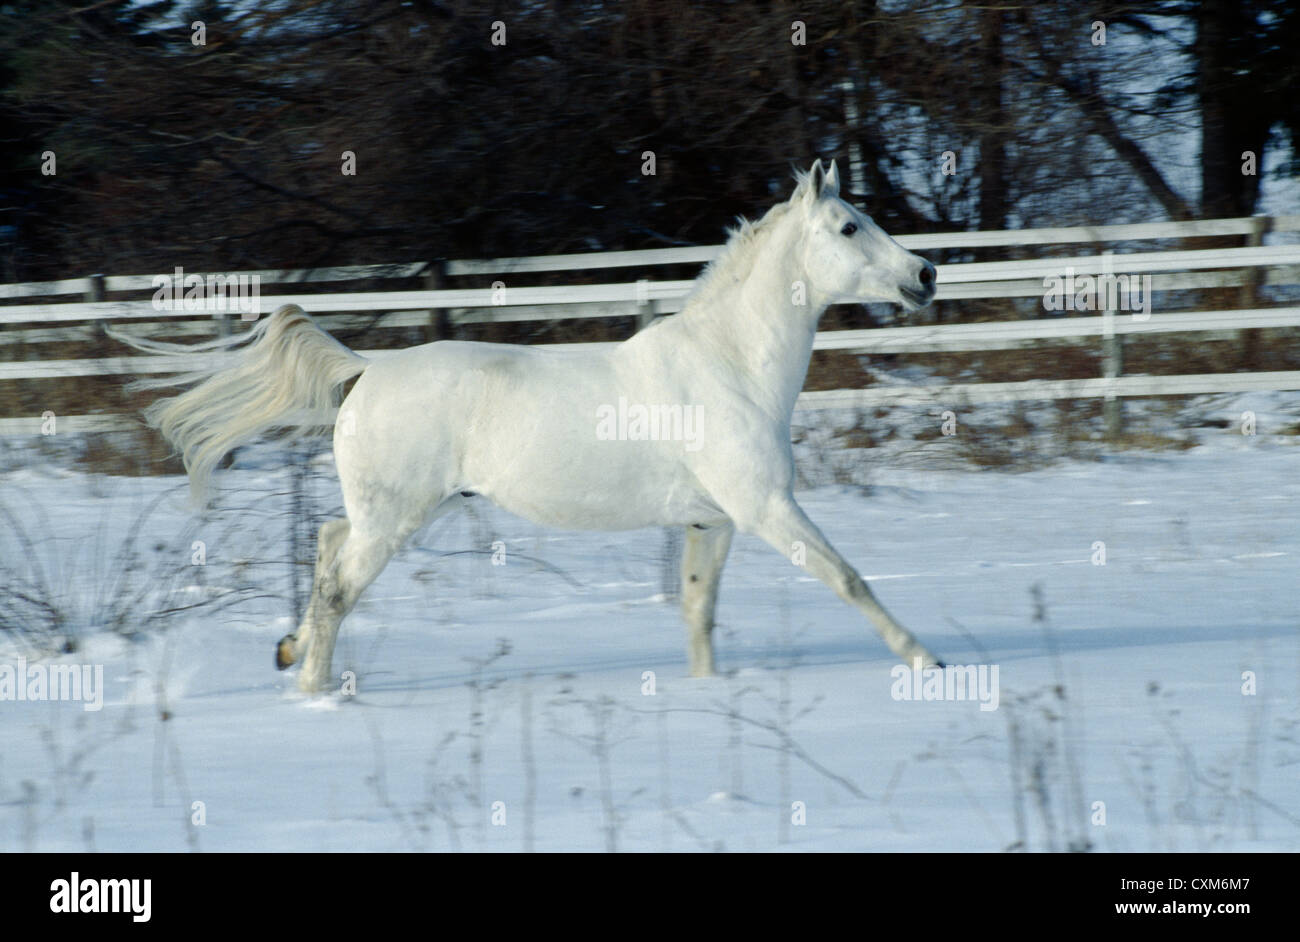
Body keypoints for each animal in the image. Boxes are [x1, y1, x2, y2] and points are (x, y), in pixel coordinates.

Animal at [118, 159, 943, 693]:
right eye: (848, 226)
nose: (926, 275)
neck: (730, 364)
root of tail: (364, 371)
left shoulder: (714, 520)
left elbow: (699, 610)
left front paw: (707, 691)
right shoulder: (767, 508)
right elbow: (848, 578)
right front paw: (927, 663)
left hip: (393, 512)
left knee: (325, 546)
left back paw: (290, 654)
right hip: (394, 519)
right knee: (338, 590)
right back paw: (316, 690)